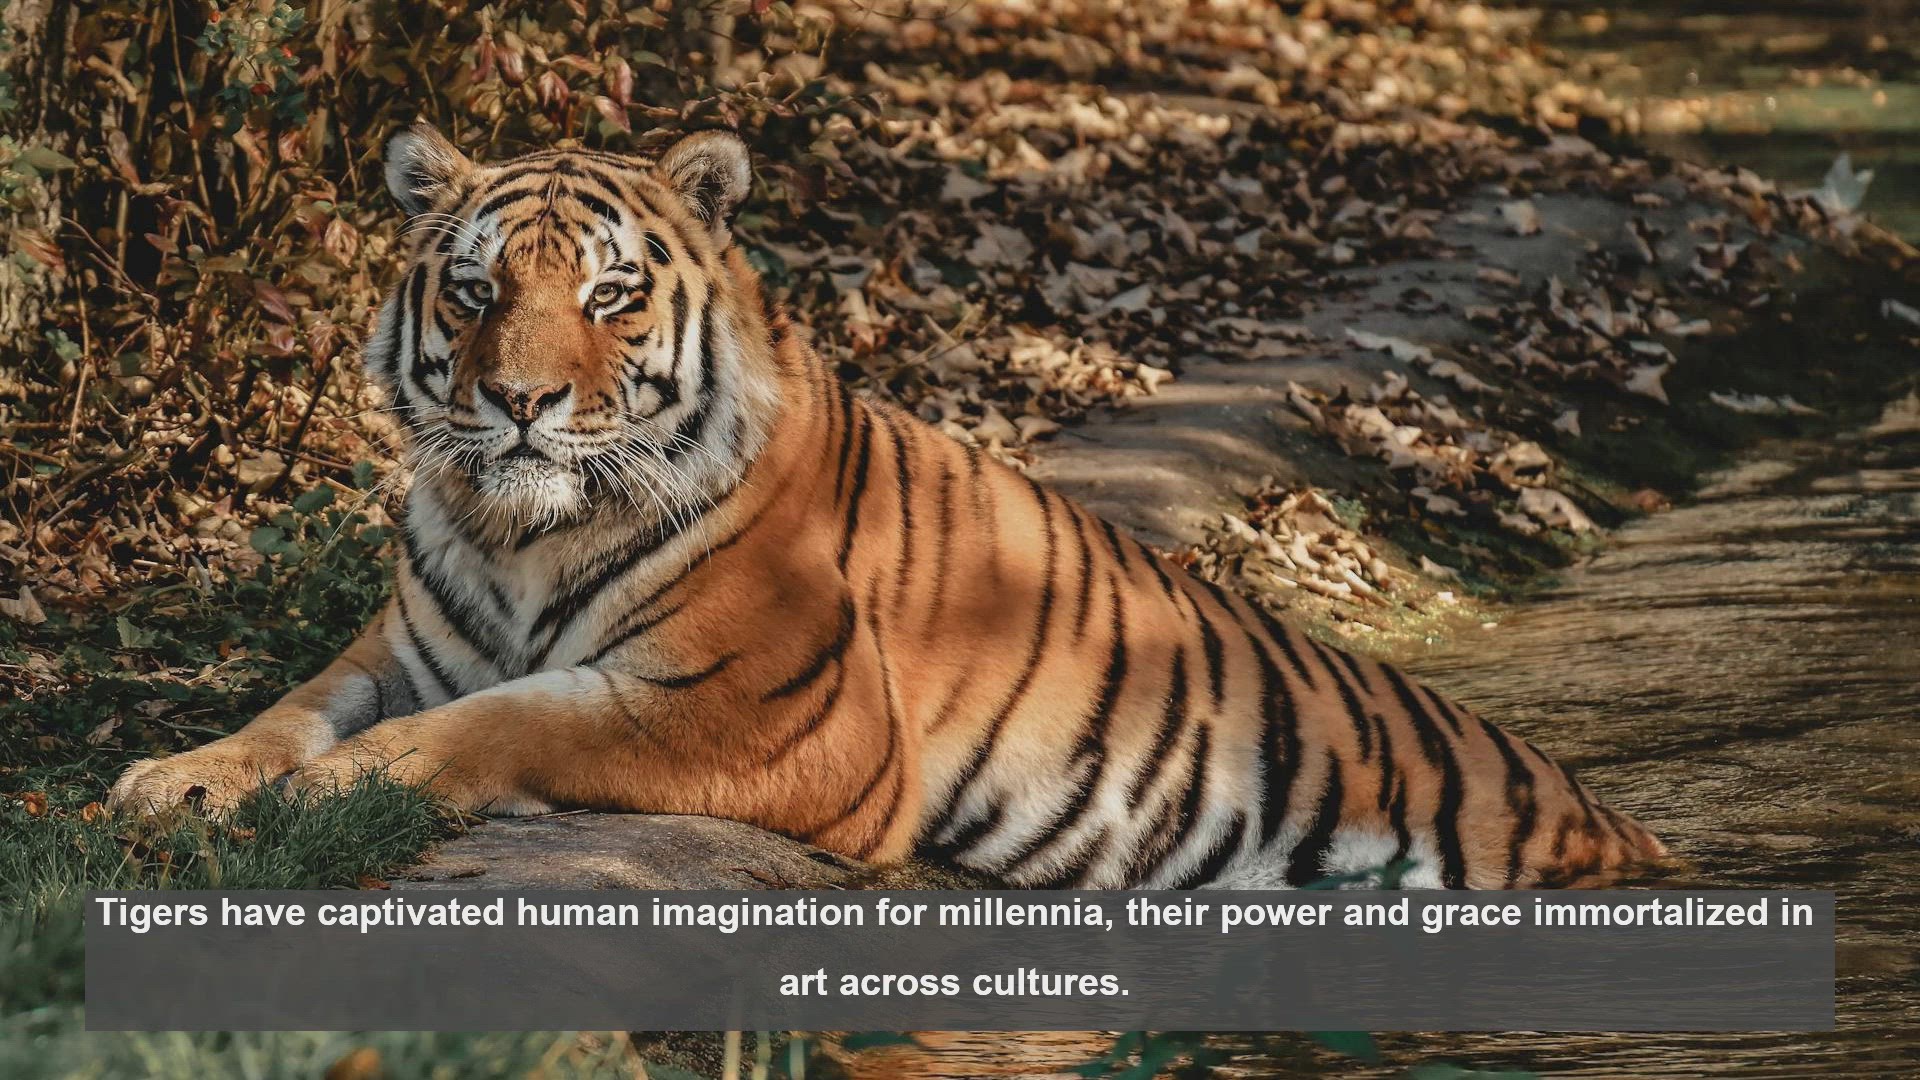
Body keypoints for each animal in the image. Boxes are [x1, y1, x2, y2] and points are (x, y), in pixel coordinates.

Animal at [108, 124, 1665, 890]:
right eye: (479, 289)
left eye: (609, 296)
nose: (521, 402)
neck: (520, 530)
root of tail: (1627, 826)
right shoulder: (402, 649)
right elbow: (296, 706)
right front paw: (181, 777)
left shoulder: (772, 709)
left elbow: (510, 722)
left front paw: (329, 795)